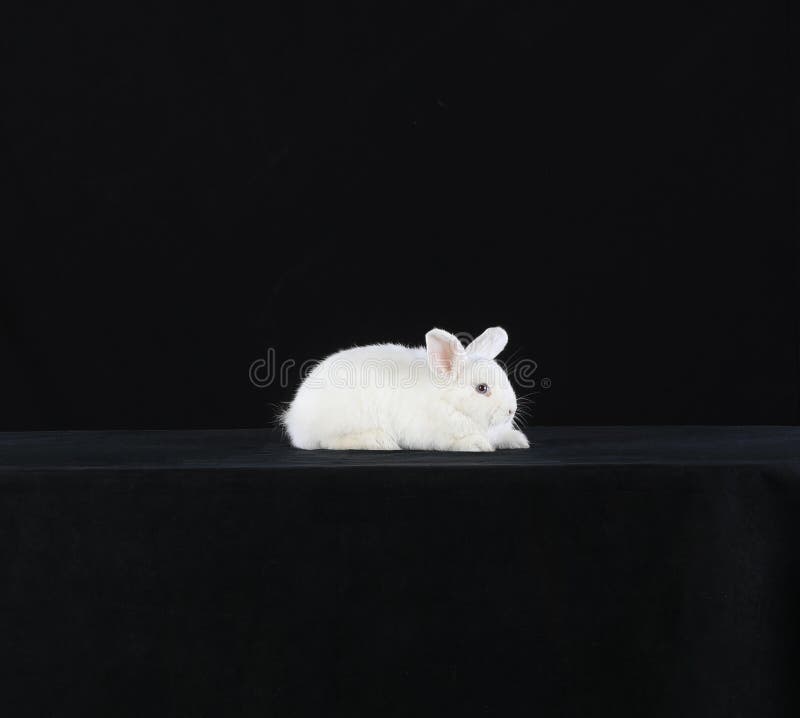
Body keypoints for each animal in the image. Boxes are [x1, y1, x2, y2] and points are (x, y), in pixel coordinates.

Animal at [281, 327, 530, 451]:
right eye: (481, 388)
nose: (511, 410)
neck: (449, 403)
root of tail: (295, 416)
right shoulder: (434, 435)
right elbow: (453, 442)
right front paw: (477, 444)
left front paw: (518, 440)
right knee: (328, 442)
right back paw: (379, 442)